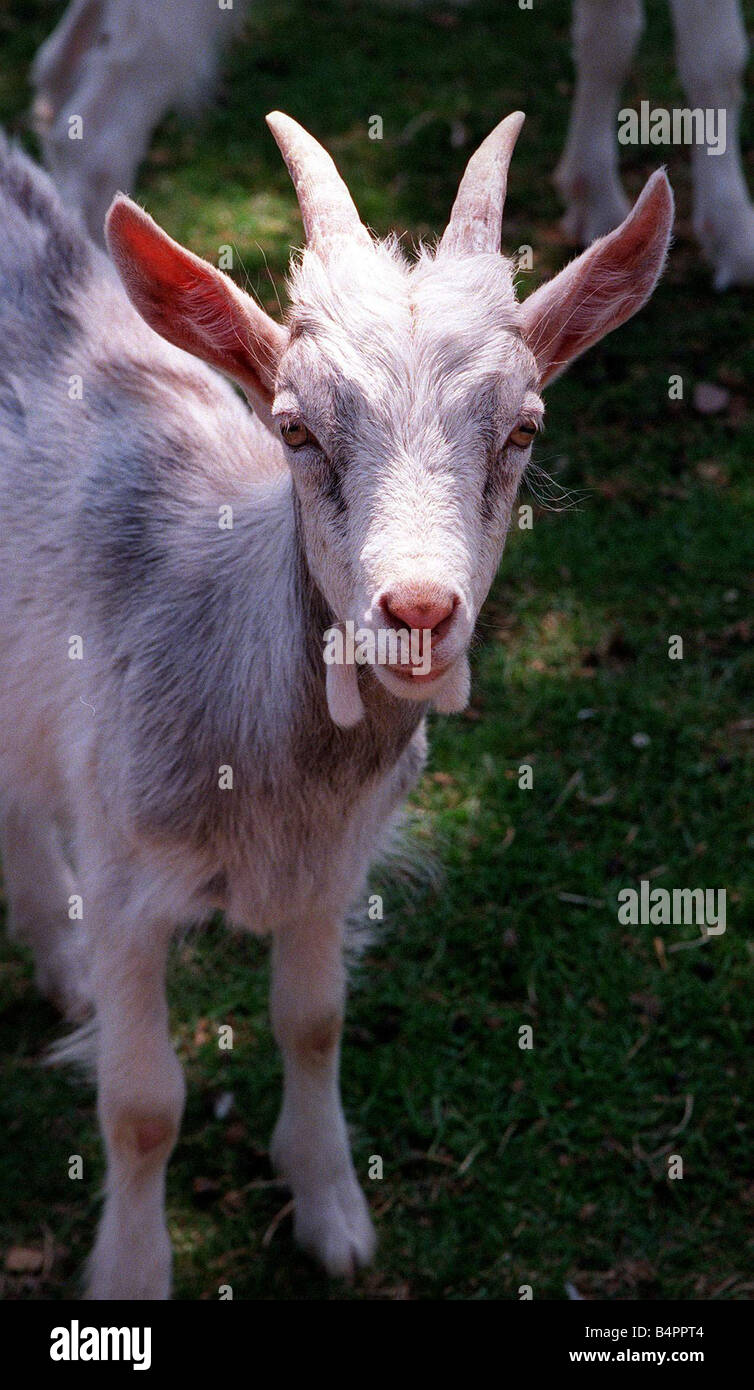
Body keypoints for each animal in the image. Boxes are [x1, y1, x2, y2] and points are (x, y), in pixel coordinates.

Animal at [0, 110, 673, 1298]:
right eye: (296, 428)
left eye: (524, 429)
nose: (417, 608)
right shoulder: (126, 870)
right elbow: (143, 1106)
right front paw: (131, 1275)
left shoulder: (331, 867)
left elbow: (313, 1021)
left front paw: (332, 1214)